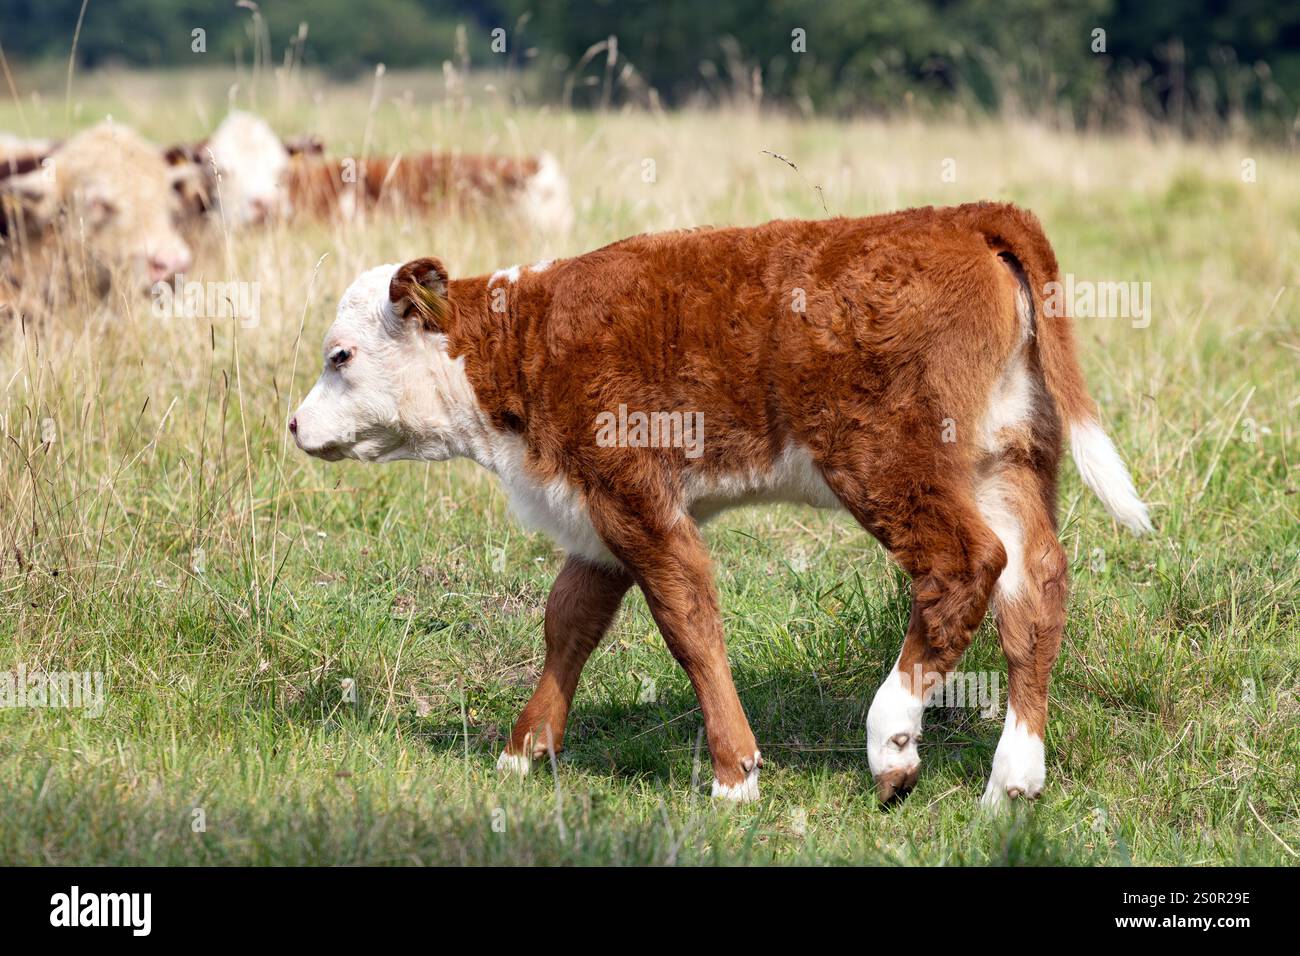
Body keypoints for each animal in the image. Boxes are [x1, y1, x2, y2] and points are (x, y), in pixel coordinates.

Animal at [288, 203, 1152, 807]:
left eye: (341, 356)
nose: (295, 424)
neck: (521, 350)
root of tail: (962, 215)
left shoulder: (635, 497)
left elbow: (688, 622)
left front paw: (735, 775)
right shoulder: (596, 514)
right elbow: (569, 622)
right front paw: (522, 752)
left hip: (887, 459)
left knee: (965, 566)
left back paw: (892, 742)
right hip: (1007, 460)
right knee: (1037, 589)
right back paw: (1012, 780)